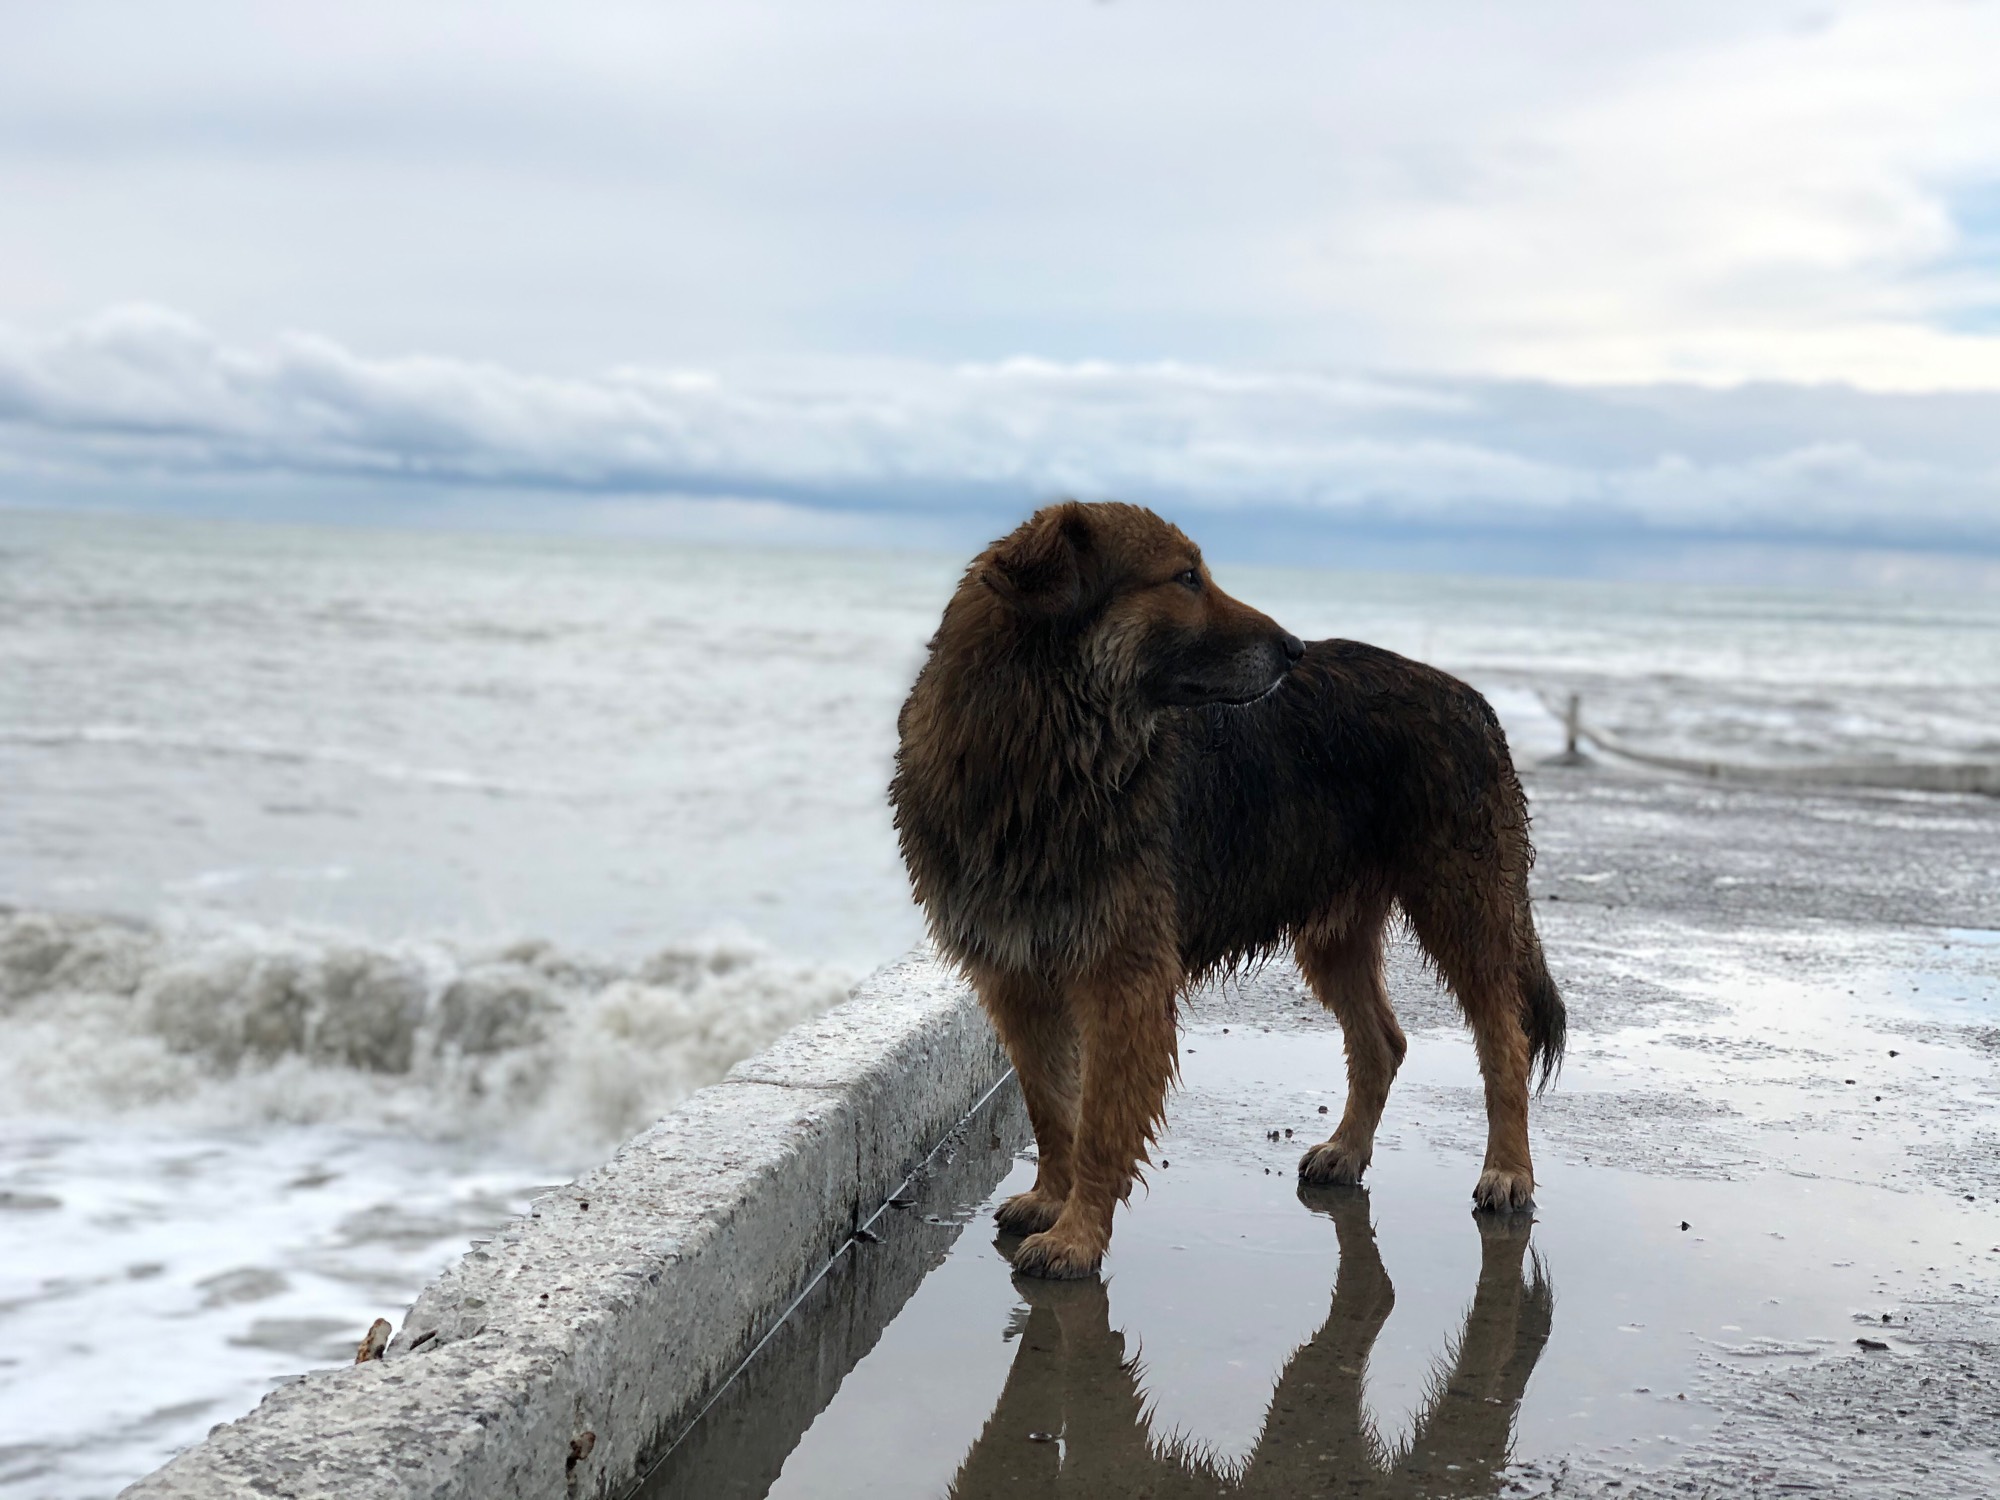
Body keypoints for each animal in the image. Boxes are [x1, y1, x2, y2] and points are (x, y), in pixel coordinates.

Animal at [892, 502, 1560, 1280]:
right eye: (1185, 578)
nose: (1295, 649)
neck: (1040, 758)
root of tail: (1471, 697)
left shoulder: (1122, 980)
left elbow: (1099, 1125)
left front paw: (1077, 1235)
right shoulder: (1015, 971)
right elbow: (1052, 1108)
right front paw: (1051, 1199)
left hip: (1463, 902)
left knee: (1505, 1040)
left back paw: (1508, 1169)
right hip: (1334, 927)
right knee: (1383, 1042)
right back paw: (1348, 1151)